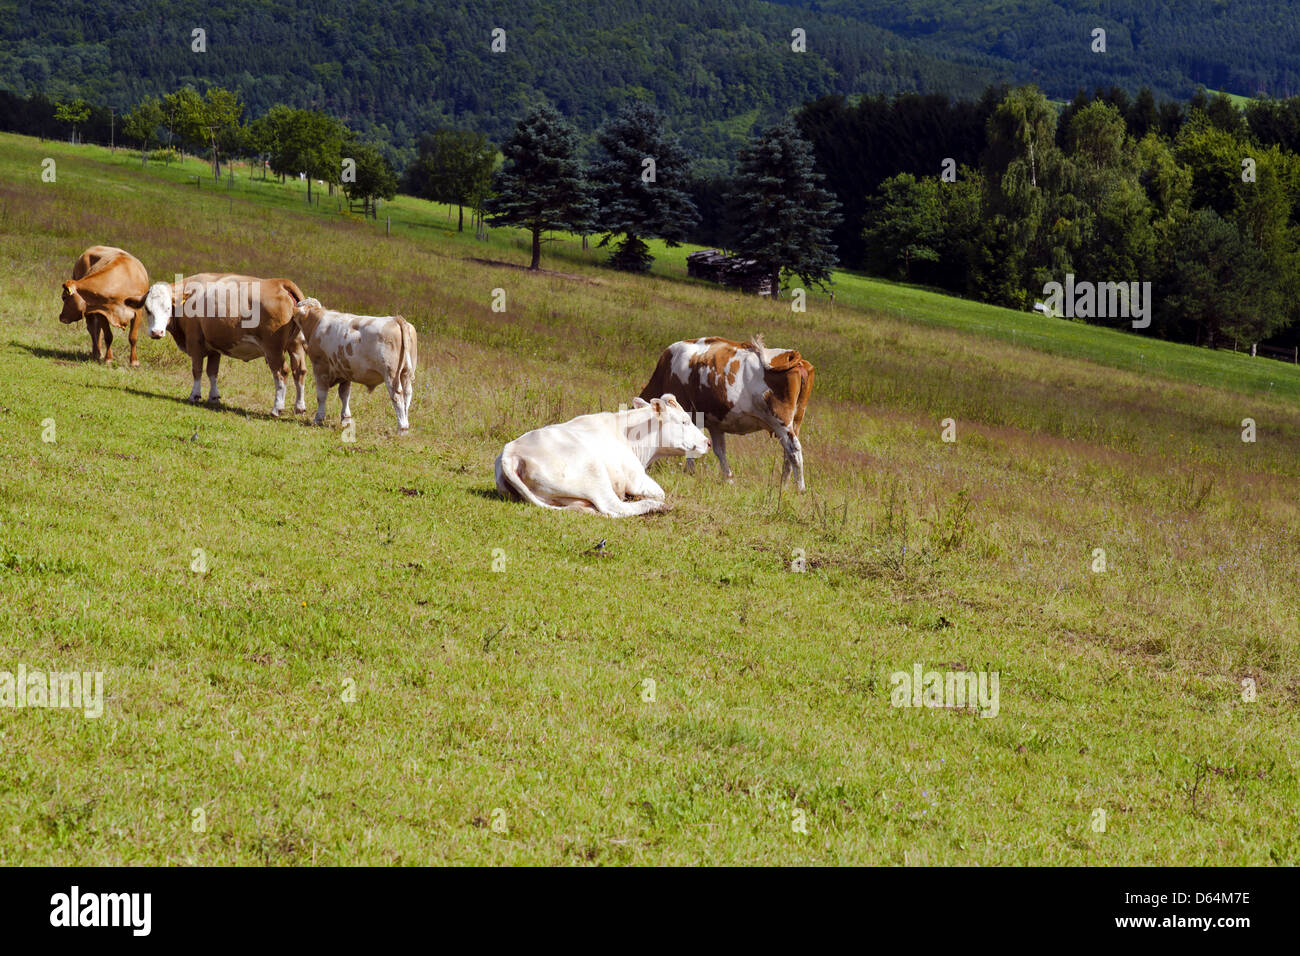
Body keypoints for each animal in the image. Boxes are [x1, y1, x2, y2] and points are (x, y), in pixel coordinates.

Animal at [143, 273, 308, 416]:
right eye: (147, 309)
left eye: (168, 308)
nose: (156, 332)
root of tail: (279, 283)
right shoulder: (214, 347)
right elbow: (212, 372)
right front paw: (214, 397)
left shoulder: (195, 342)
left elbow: (197, 370)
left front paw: (194, 395)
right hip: (296, 345)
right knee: (299, 371)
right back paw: (299, 407)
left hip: (273, 349)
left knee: (281, 372)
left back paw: (277, 408)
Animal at [290, 297, 418, 432]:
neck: (316, 322)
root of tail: (395, 319)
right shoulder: (345, 371)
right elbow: (345, 394)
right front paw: (346, 419)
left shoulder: (320, 368)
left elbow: (321, 395)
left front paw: (318, 419)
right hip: (406, 374)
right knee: (407, 395)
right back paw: (406, 425)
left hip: (391, 374)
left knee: (397, 396)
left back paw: (402, 428)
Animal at [495, 394, 711, 517]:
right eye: (684, 421)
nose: (707, 442)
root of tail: (511, 451)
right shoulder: (636, 478)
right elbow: (659, 492)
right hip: (594, 473)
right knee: (614, 508)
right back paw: (656, 507)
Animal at [640, 336, 814, 490]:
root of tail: (793, 356)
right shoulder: (715, 424)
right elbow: (720, 451)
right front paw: (728, 479)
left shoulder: (689, 413)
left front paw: (689, 473)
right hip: (796, 420)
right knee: (788, 453)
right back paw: (784, 486)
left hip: (780, 421)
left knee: (794, 450)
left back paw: (800, 488)